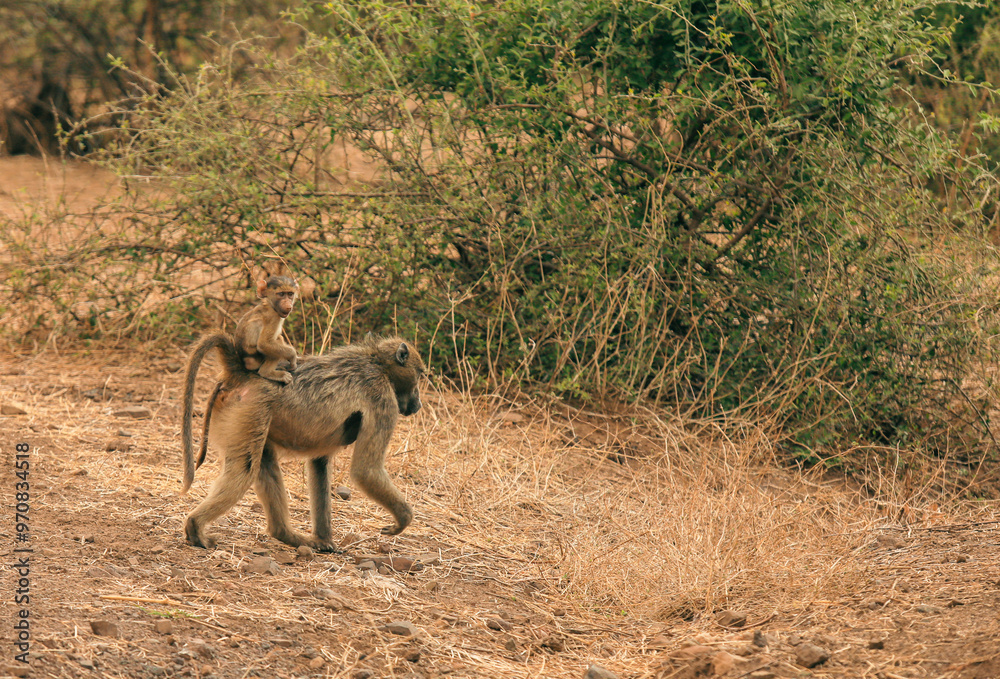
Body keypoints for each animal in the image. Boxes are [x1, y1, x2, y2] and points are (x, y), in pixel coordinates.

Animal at [180, 332, 424, 551]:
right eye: (420, 375)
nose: (418, 404)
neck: (377, 362)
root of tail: (242, 373)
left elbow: (319, 464)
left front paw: (324, 541)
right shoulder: (383, 399)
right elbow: (366, 470)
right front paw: (403, 519)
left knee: (264, 465)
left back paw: (285, 534)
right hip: (251, 409)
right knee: (244, 471)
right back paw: (195, 527)